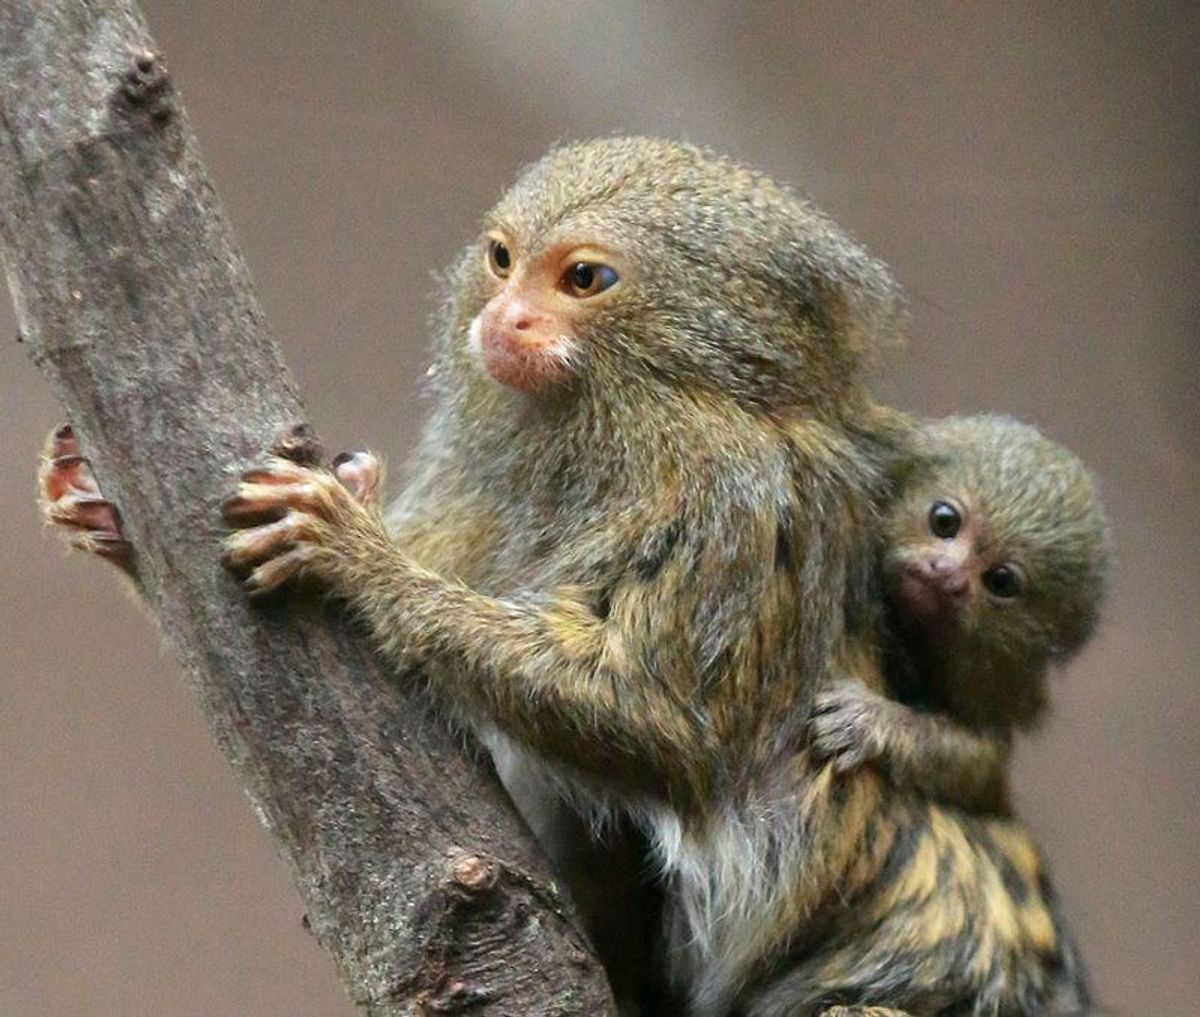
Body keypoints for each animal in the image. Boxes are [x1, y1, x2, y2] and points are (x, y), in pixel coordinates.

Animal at [808, 414, 1110, 817]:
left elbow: (982, 767)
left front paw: (871, 723)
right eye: (944, 520)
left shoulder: (992, 677)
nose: (945, 573)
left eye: (1001, 580)